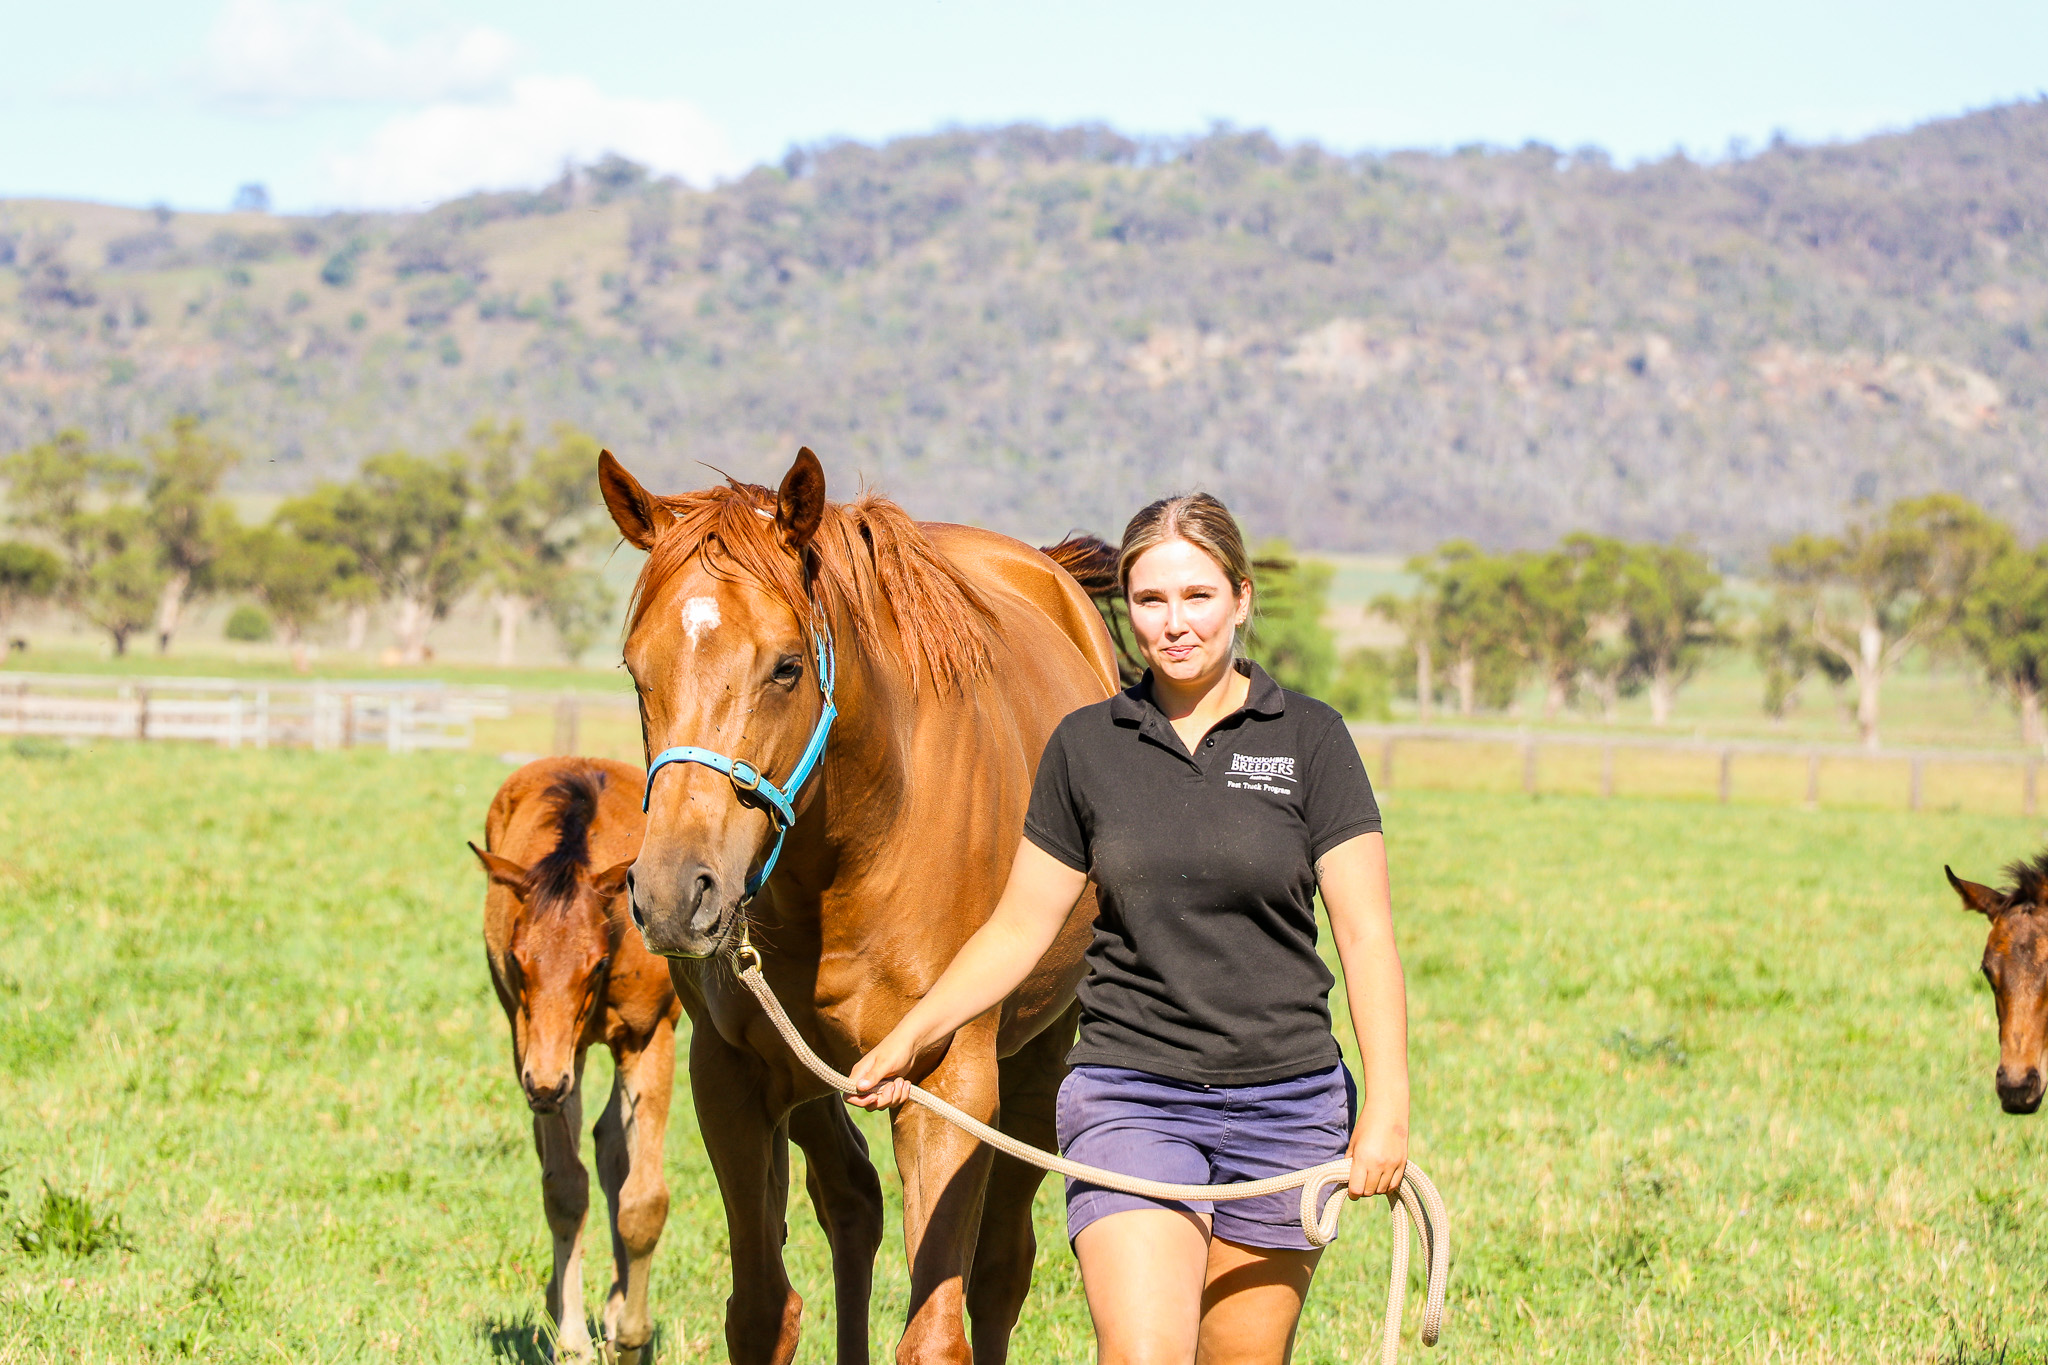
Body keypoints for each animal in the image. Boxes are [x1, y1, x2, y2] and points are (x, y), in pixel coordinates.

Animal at [470, 758, 683, 1362]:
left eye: (597, 963)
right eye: (518, 959)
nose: (543, 1085)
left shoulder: (649, 1037)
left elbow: (643, 1200)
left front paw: (630, 1334)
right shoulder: (540, 1048)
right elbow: (564, 1189)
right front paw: (571, 1340)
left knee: (613, 1145)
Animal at [599, 445, 1119, 1364]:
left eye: (785, 666)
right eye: (636, 670)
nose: (672, 893)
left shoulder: (952, 1084)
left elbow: (938, 1331)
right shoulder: (732, 1078)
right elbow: (761, 1310)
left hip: (1036, 1062)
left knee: (1000, 1269)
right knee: (853, 1203)